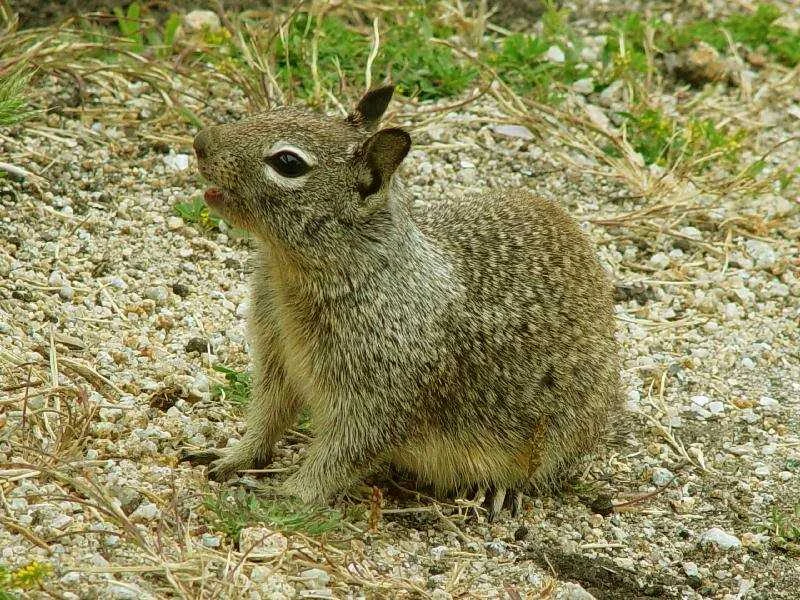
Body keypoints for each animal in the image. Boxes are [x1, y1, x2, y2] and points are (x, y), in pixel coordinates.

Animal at [182, 85, 620, 520]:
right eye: (281, 108)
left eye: (288, 162)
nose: (200, 141)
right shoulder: (276, 356)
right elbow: (266, 417)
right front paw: (233, 456)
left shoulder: (378, 397)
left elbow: (340, 455)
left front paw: (289, 494)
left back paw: (499, 490)